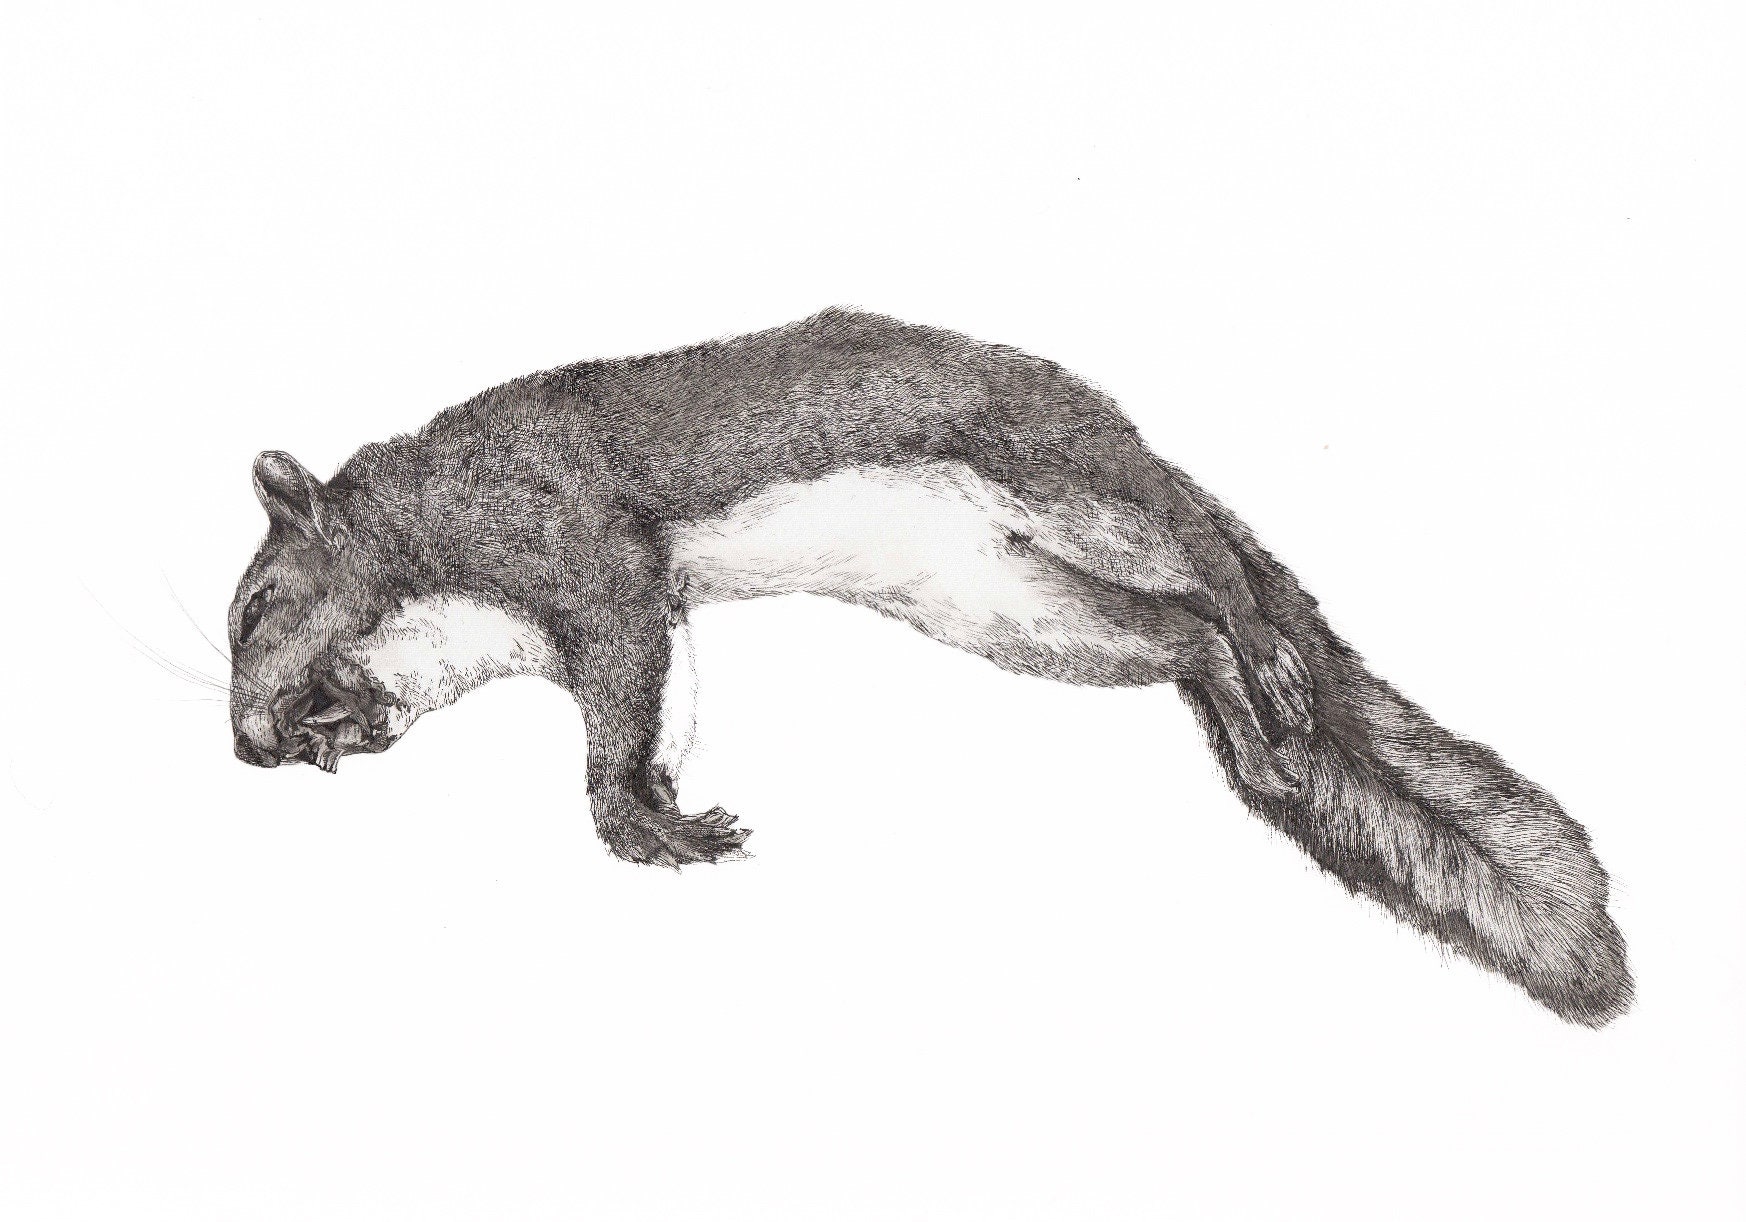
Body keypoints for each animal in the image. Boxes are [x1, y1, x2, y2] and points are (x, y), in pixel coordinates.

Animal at [228, 308, 1630, 1026]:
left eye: (252, 608)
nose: (251, 744)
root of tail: (1119, 428)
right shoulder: (648, 612)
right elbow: (658, 722)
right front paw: (676, 824)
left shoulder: (590, 554)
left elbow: (621, 718)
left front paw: (649, 825)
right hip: (1010, 604)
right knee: (1179, 632)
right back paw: (1247, 711)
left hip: (1064, 491)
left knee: (1200, 564)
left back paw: (1262, 651)